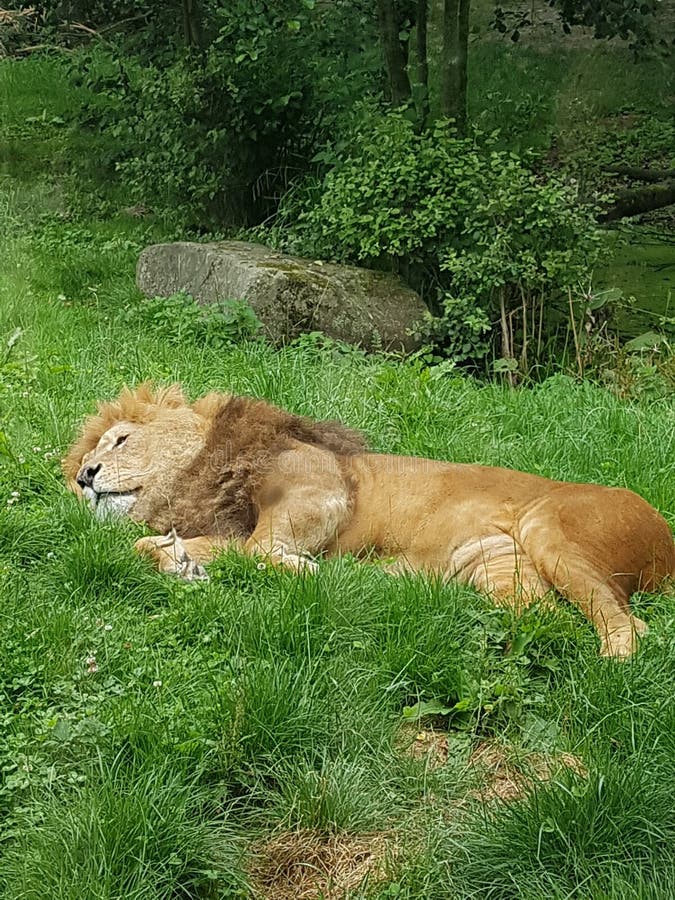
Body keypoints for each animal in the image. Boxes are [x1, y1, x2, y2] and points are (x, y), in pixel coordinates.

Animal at [62, 383, 674, 658]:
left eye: (120, 440)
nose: (86, 476)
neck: (196, 480)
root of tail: (665, 539)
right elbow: (159, 546)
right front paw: (181, 563)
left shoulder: (321, 489)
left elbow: (262, 549)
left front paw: (323, 577)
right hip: (496, 572)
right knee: (552, 621)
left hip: (552, 526)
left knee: (631, 627)